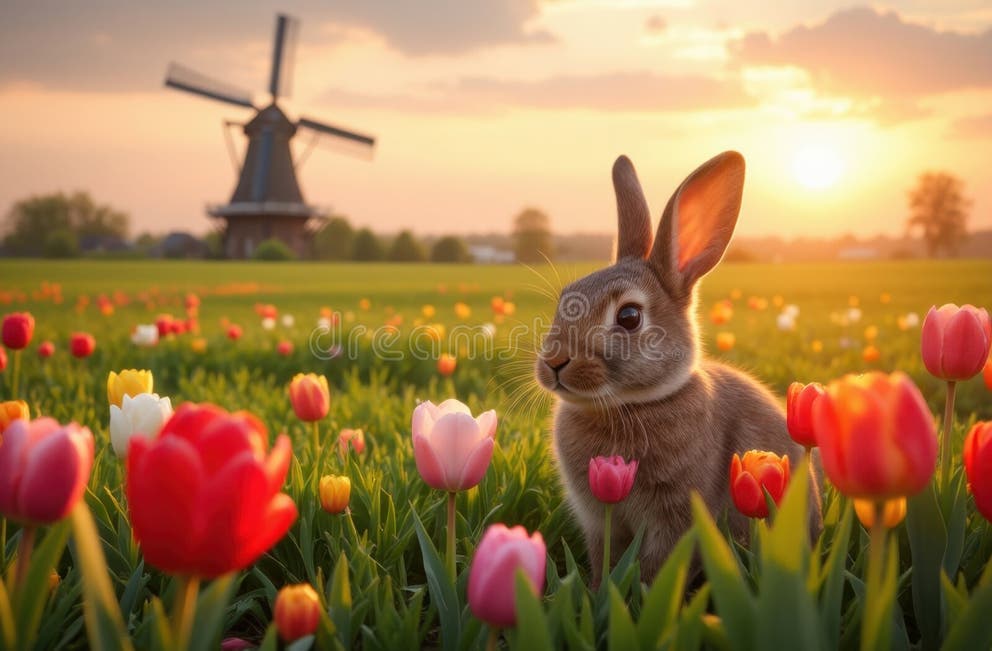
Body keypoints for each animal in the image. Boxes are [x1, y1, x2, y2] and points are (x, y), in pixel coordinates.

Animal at [535, 151, 821, 586]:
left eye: (630, 317)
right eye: (565, 299)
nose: (553, 362)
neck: (629, 404)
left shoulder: (674, 518)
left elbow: (658, 566)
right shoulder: (600, 519)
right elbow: (605, 558)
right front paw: (601, 591)